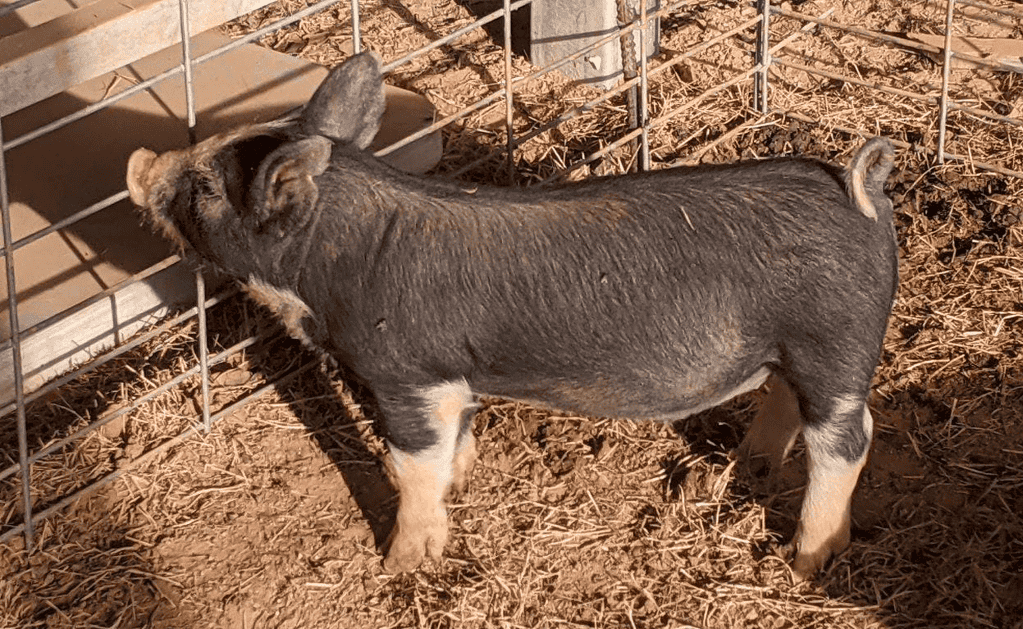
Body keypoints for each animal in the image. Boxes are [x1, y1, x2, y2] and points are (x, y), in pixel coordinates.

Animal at [126, 51, 898, 580]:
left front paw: (403, 564)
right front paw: (462, 480)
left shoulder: (406, 373)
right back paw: (749, 469)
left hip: (835, 346)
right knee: (785, 402)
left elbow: (411, 464)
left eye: (205, 188)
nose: (140, 162)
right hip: (791, 350)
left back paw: (805, 558)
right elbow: (453, 443)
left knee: (849, 439)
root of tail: (857, 193)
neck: (331, 260)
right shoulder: (454, 378)